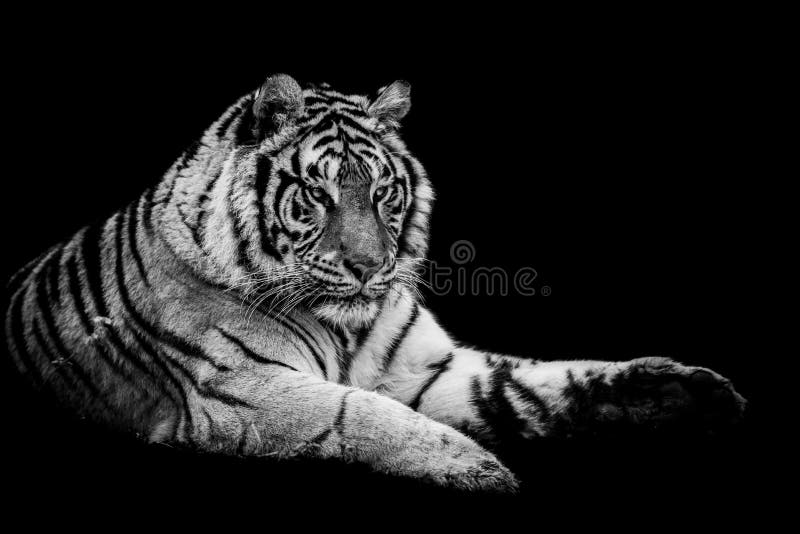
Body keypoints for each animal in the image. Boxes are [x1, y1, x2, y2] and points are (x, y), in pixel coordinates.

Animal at [4, 74, 747, 492]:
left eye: (383, 191)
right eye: (319, 195)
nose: (368, 266)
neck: (344, 323)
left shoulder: (425, 369)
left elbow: (538, 384)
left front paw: (686, 394)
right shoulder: (235, 391)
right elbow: (357, 414)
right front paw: (480, 470)